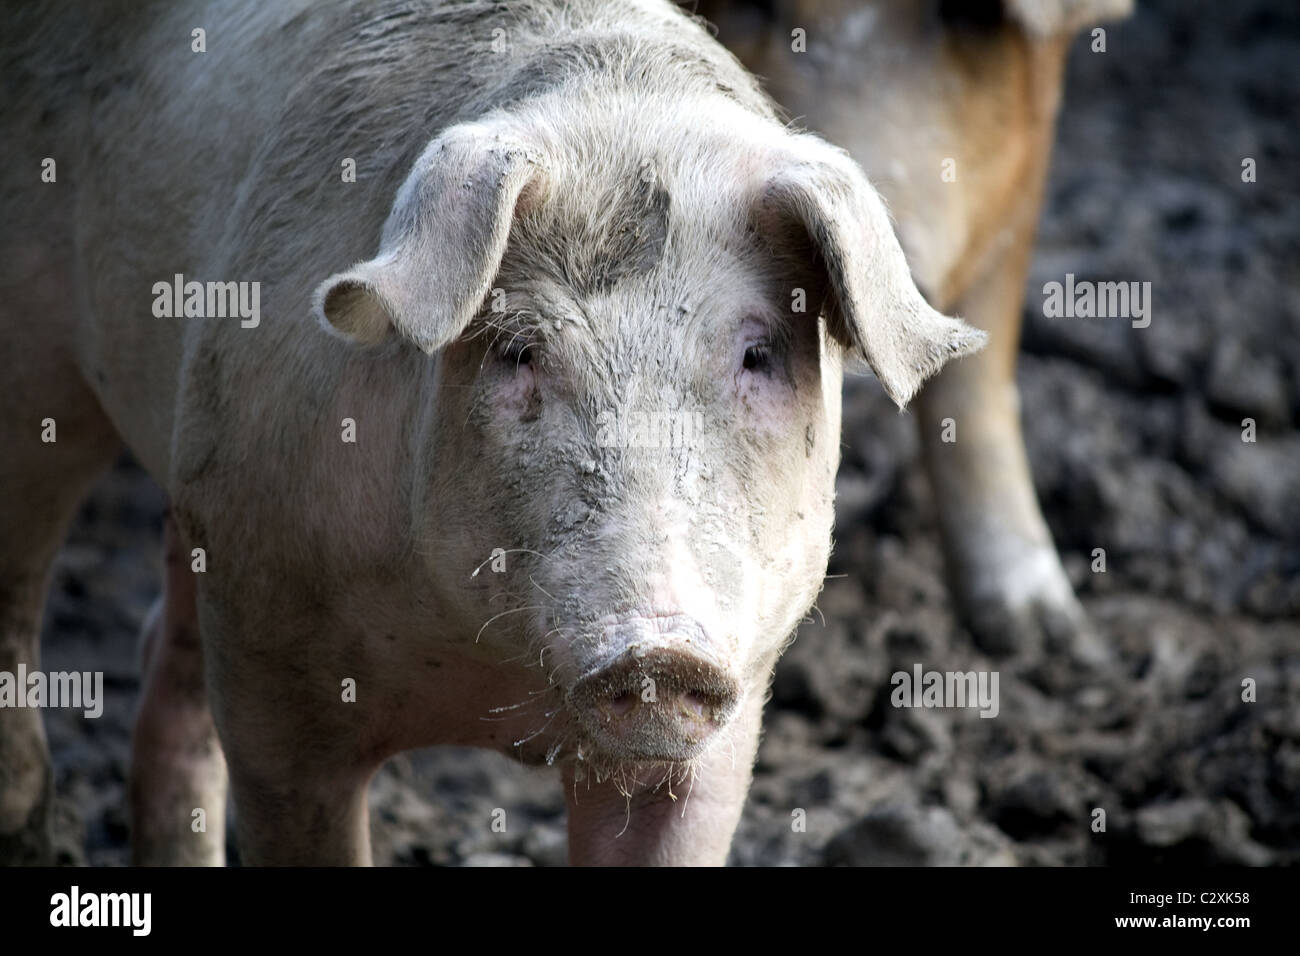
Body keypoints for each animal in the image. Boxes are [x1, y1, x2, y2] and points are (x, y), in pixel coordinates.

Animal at [0, 0, 982, 865]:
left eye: (757, 353)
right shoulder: (267, 641)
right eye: (518, 349)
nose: (661, 648)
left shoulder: (732, 707)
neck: (485, 680)